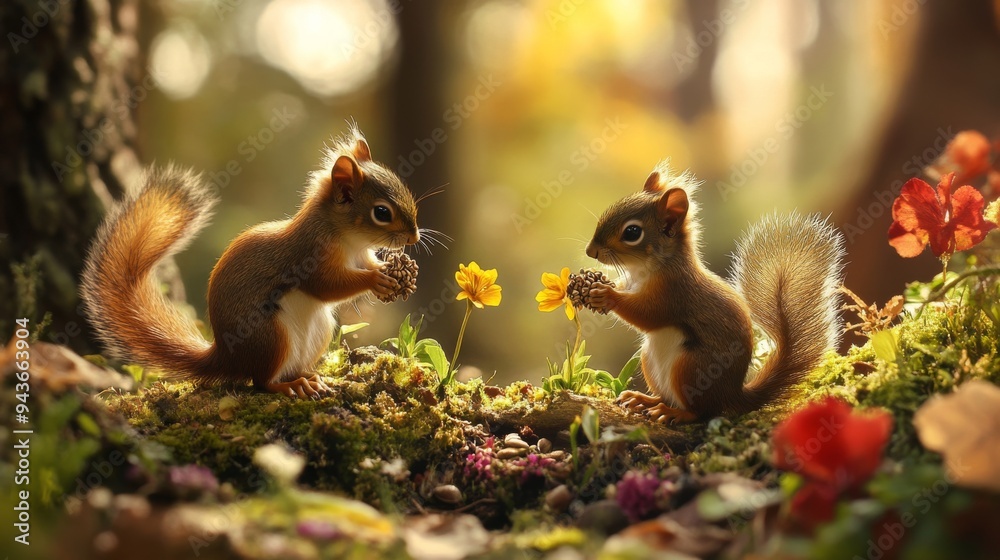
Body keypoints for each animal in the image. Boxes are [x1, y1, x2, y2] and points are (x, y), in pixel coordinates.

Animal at [81, 127, 420, 399]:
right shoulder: (309, 256)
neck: (349, 240)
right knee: (261, 382)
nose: (415, 236)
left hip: (319, 332)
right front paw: (376, 280)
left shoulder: (361, 255)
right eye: (382, 212)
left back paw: (311, 378)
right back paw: (291, 386)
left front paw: (395, 276)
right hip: (270, 336)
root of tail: (227, 358)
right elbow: (326, 286)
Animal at [584, 163, 844, 423]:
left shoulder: (675, 292)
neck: (643, 271)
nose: (590, 251)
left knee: (700, 411)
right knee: (665, 396)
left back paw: (673, 412)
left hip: (692, 367)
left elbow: (648, 315)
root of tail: (732, 395)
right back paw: (643, 400)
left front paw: (607, 295)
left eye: (632, 232)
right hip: (649, 359)